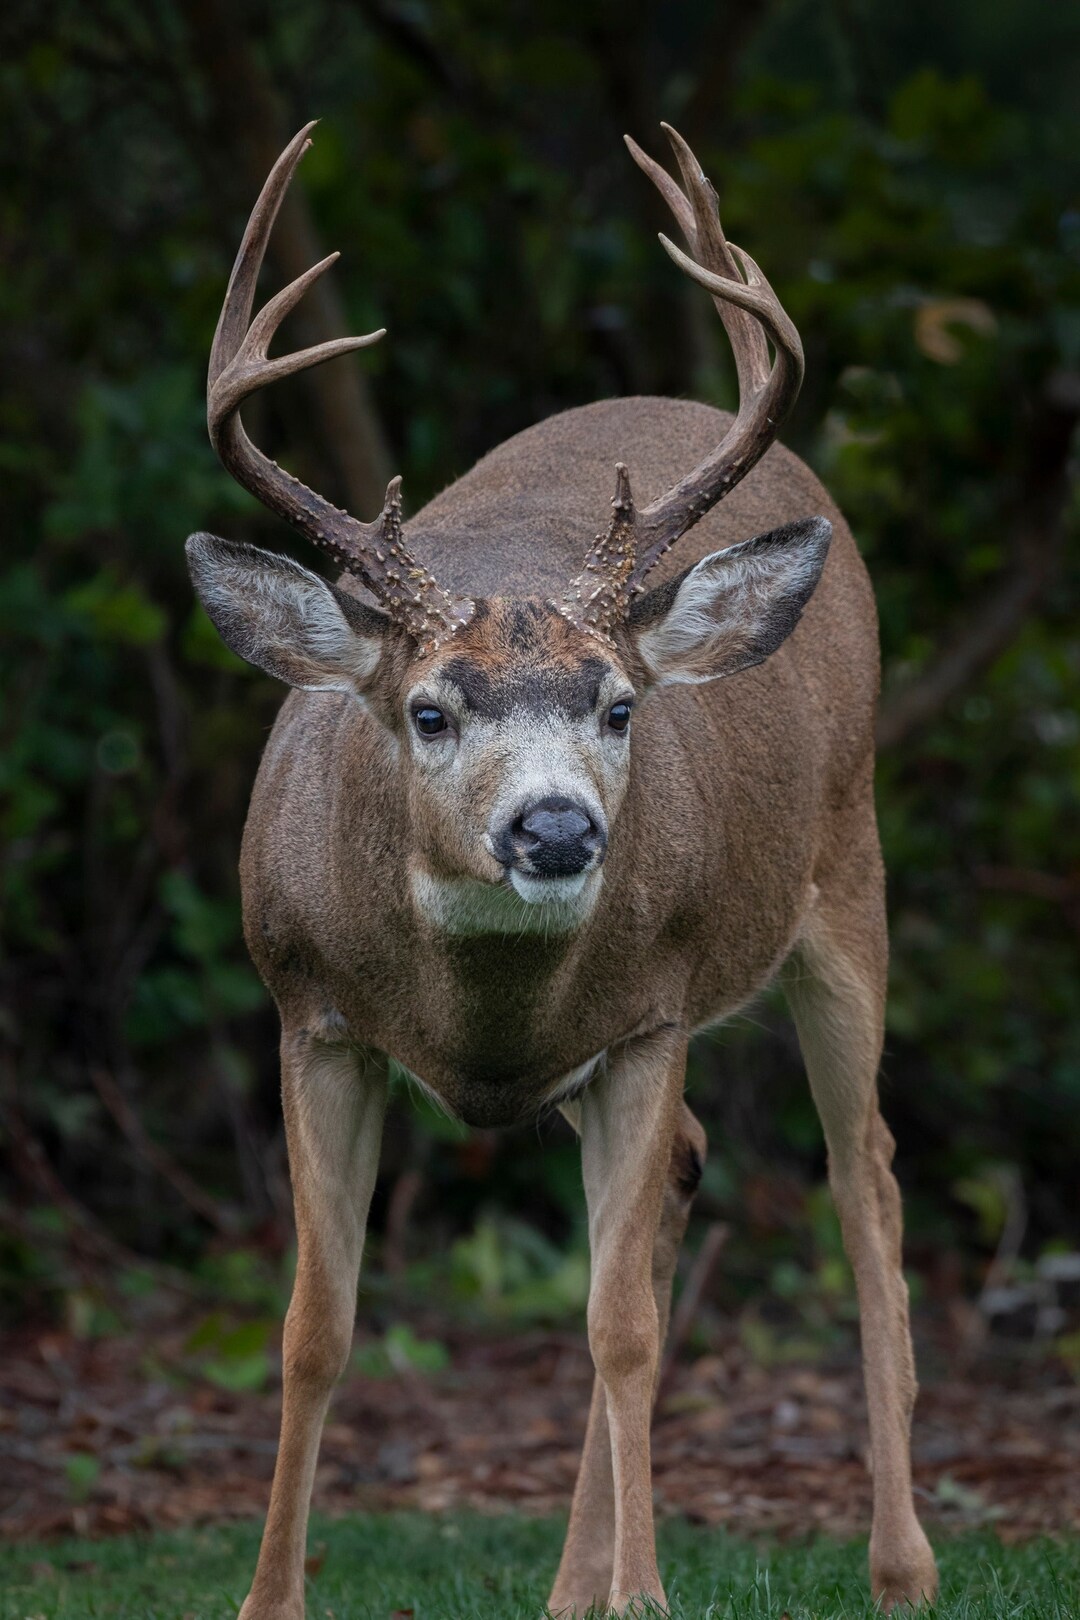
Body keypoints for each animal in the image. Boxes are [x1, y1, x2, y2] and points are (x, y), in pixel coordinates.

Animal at [186, 120, 939, 1617]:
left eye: (618, 705)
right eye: (429, 711)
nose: (555, 831)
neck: (476, 1013)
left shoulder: (652, 1011)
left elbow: (624, 1326)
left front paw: (649, 1597)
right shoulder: (308, 1015)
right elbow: (314, 1325)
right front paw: (266, 1598)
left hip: (845, 872)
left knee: (865, 1181)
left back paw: (901, 1565)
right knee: (692, 1179)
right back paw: (566, 1584)